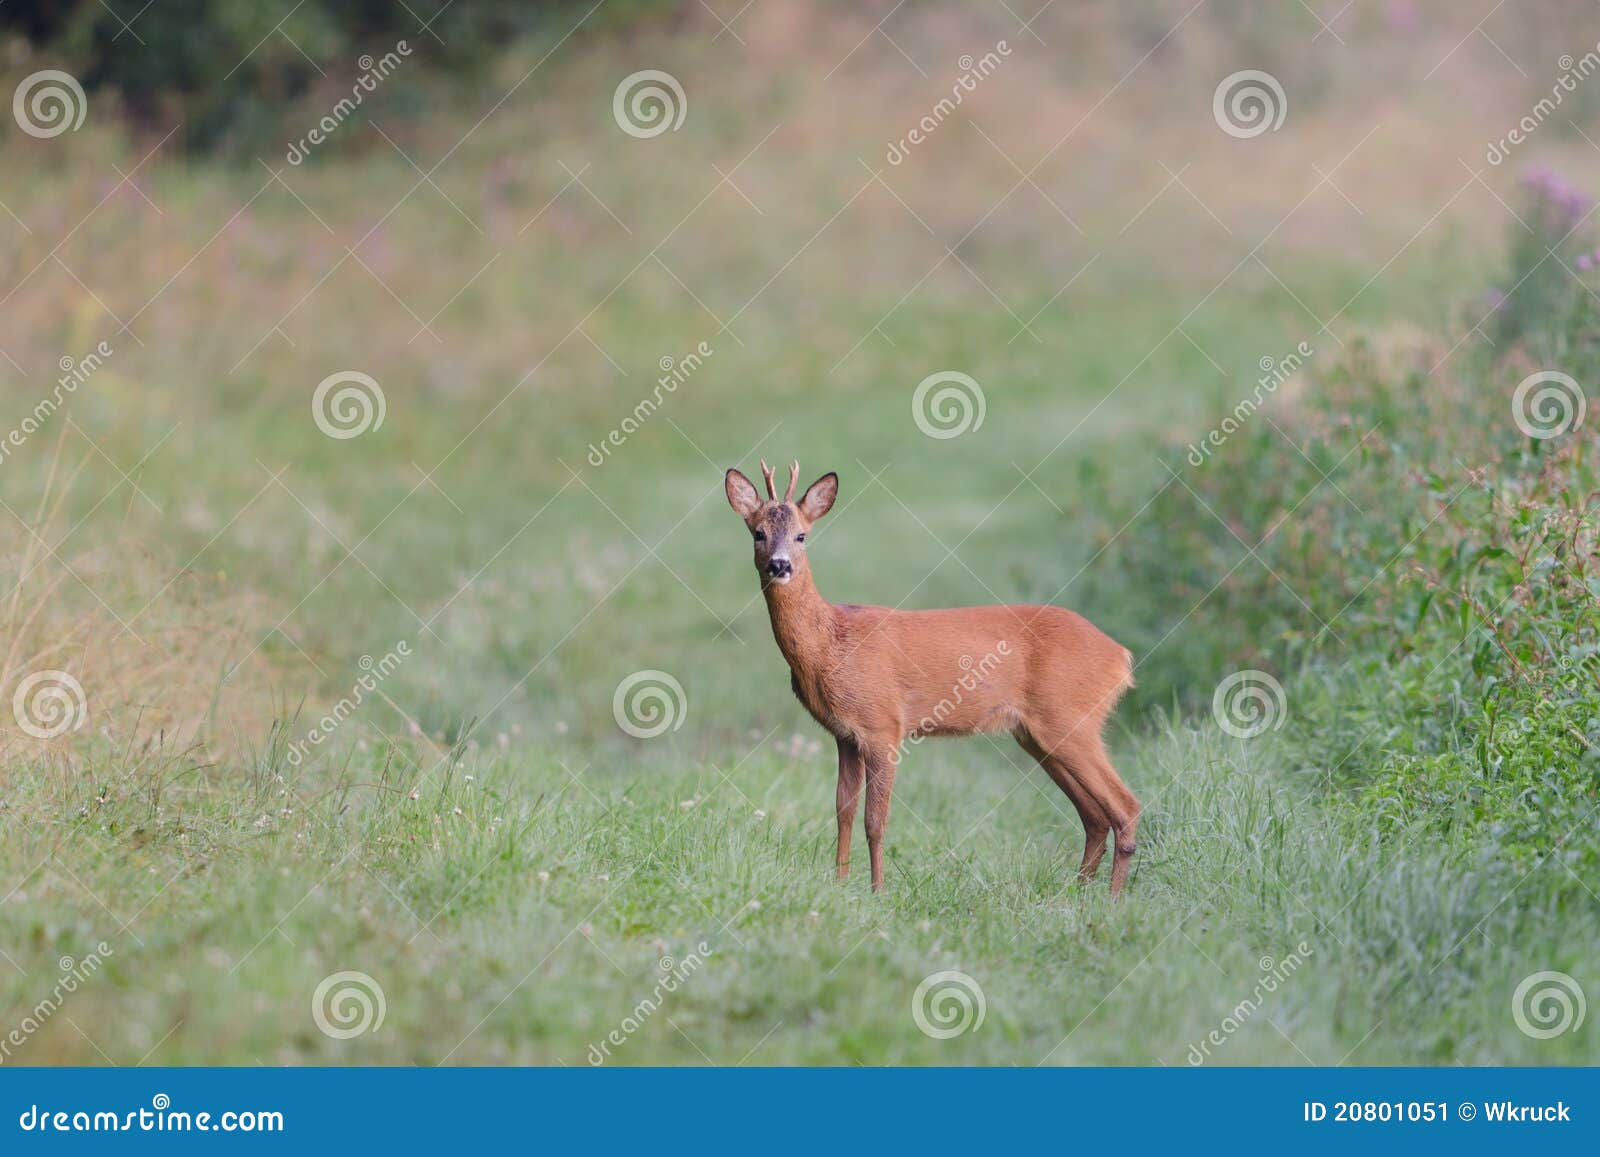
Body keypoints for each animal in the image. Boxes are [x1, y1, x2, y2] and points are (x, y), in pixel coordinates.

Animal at [724, 460, 1142, 896]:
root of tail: (1120, 656)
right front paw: (840, 884)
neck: (830, 644)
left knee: (1126, 805)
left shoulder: (883, 725)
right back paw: (1077, 893)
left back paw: (1112, 899)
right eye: (758, 532)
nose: (780, 565)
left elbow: (875, 820)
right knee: (1095, 814)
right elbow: (843, 810)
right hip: (1038, 732)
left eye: (802, 535)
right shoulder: (845, 735)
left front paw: (877, 890)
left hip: (1070, 716)